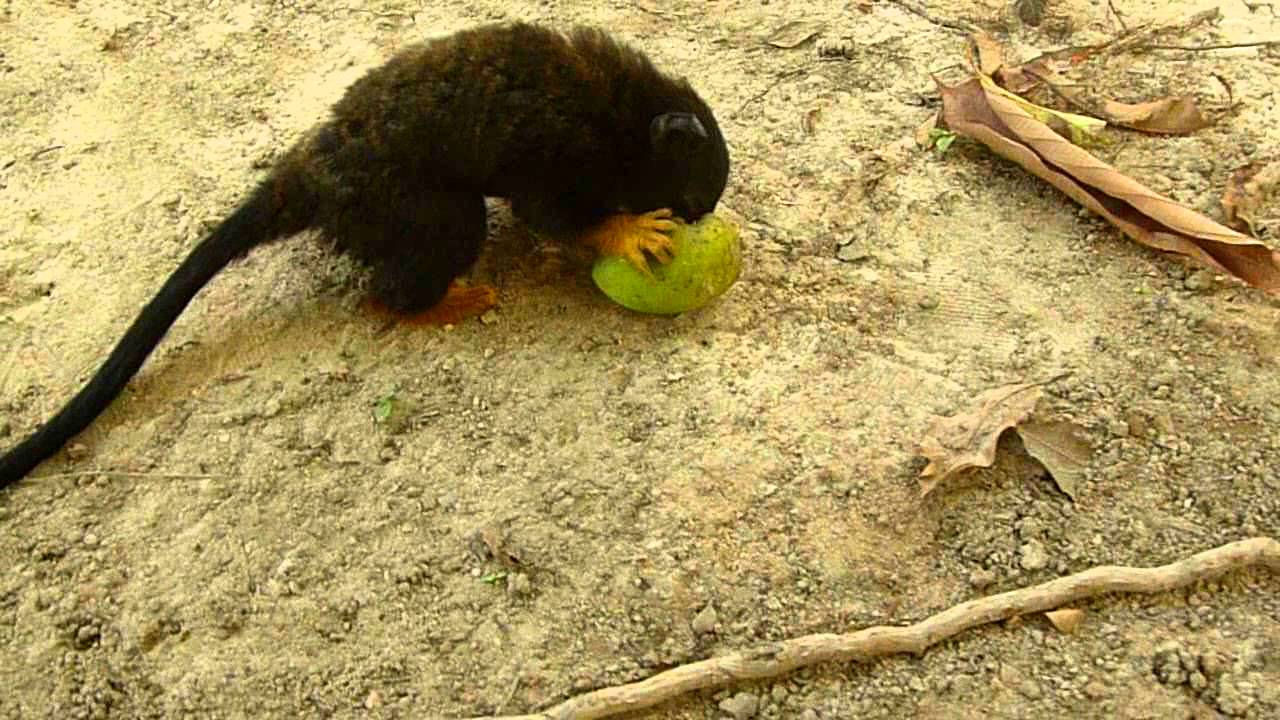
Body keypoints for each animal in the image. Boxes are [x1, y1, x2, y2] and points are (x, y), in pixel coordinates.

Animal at [0, 22, 730, 489]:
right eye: (693, 203)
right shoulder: (562, 146)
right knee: (426, 249)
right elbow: (547, 214)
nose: (703, 219)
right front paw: (623, 231)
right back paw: (428, 303)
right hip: (397, 202)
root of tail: (309, 176)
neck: (625, 113)